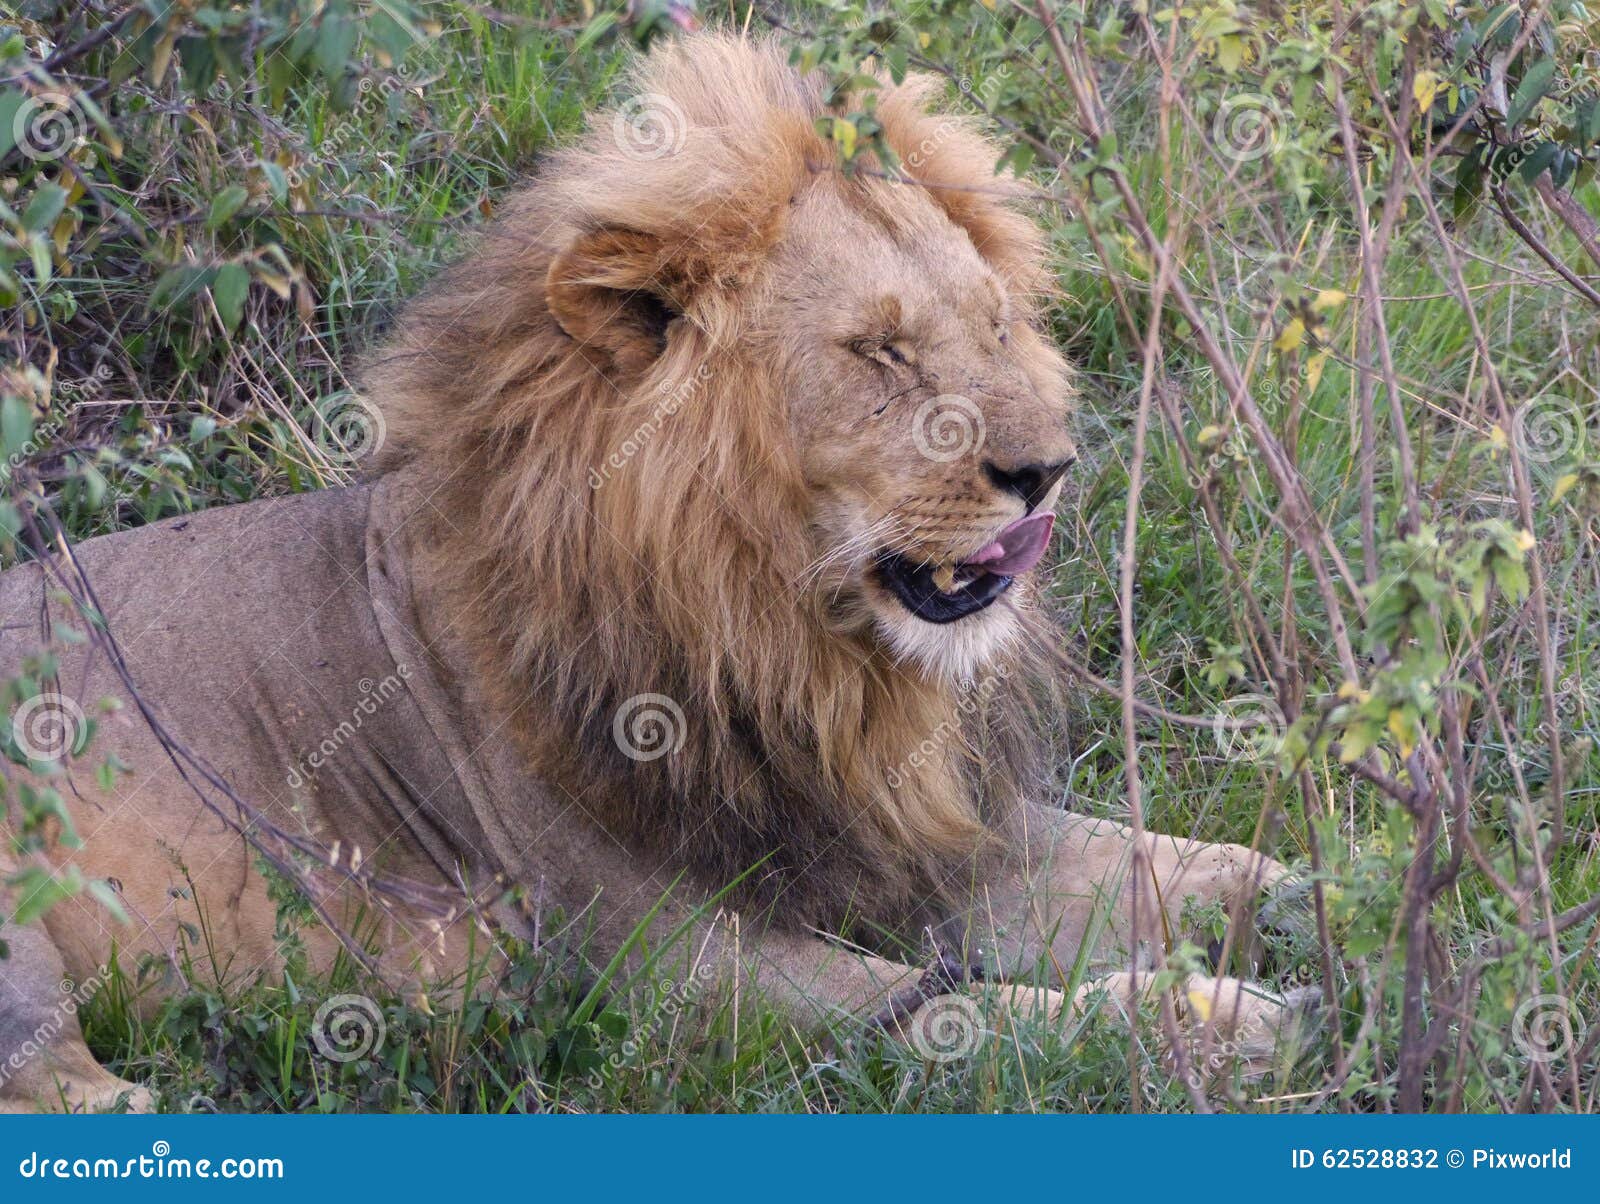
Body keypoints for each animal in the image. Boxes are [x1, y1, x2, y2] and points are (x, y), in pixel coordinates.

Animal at [0, 34, 1312, 1113]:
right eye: (879, 352)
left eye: (995, 327)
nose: (1047, 473)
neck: (790, 644)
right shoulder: (649, 965)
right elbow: (953, 1008)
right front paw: (1217, 1030)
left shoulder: (901, 837)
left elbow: (1201, 867)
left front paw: (1335, 916)